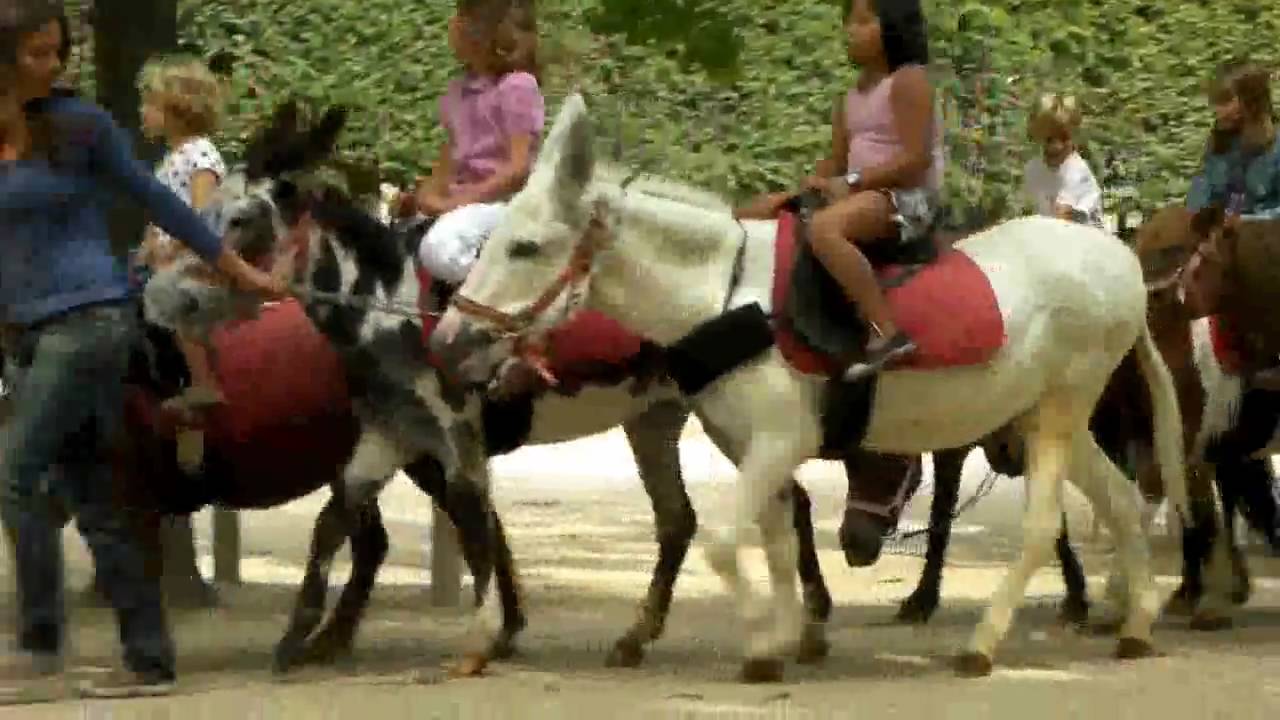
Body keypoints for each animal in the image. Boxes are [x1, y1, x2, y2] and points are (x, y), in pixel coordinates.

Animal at [431, 94, 1191, 681]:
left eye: (525, 247)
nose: (447, 340)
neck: (726, 295)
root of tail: (1118, 254)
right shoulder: (750, 445)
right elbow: (771, 534)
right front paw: (782, 636)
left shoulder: (778, 439)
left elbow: (723, 539)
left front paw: (764, 643)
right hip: (1046, 412)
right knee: (1124, 502)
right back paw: (1136, 624)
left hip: (1060, 408)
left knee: (1042, 527)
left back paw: (984, 644)